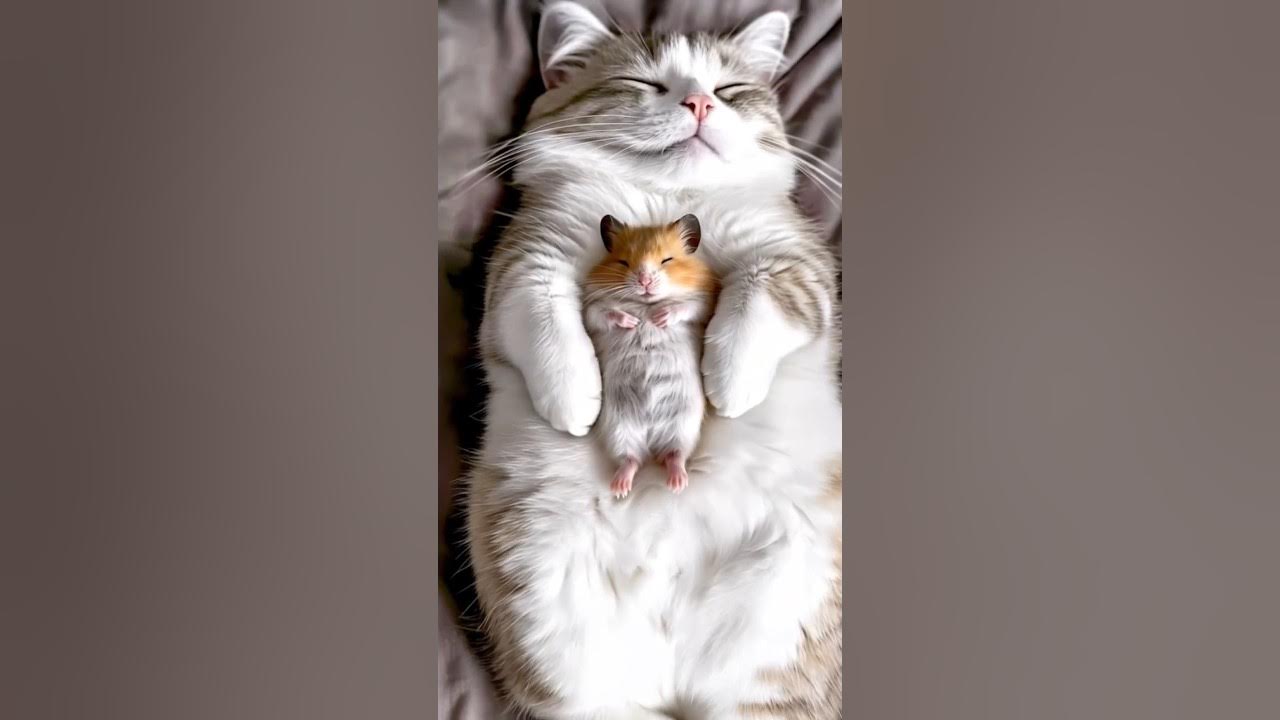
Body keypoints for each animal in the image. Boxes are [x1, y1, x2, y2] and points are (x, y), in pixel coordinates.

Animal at [582, 214, 720, 499]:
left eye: (667, 260)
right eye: (623, 262)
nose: (644, 281)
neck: (646, 303)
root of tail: (651, 435)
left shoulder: (704, 303)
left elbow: (685, 307)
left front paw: (659, 319)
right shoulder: (593, 310)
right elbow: (607, 314)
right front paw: (632, 322)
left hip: (685, 424)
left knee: (675, 455)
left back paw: (677, 483)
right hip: (618, 428)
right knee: (631, 459)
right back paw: (620, 488)